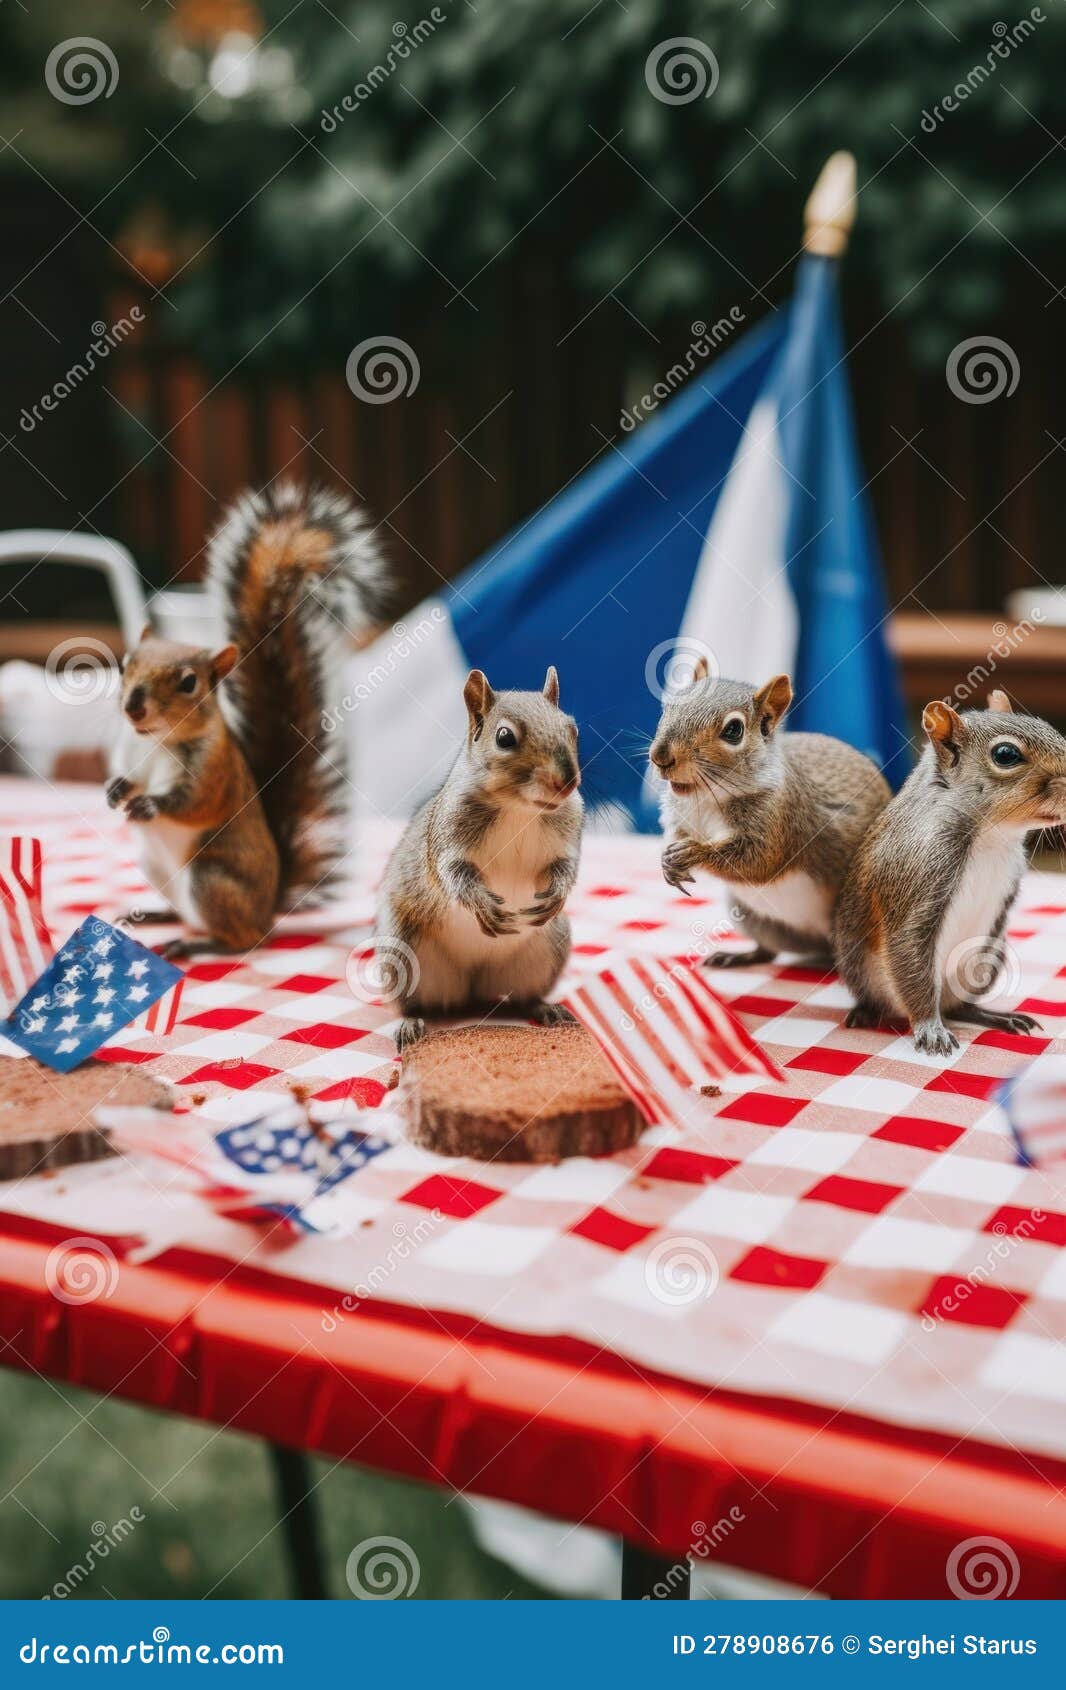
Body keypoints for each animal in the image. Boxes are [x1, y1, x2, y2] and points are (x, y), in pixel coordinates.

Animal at [107, 482, 393, 960]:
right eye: (126, 664)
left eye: (189, 683)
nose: (133, 707)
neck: (156, 741)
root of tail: (268, 906)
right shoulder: (130, 752)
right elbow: (128, 776)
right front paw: (115, 791)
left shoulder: (214, 770)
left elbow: (195, 802)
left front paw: (151, 805)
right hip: (157, 869)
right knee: (185, 912)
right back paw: (157, 914)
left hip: (211, 881)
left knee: (240, 939)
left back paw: (198, 944)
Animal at [376, 666, 583, 1049]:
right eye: (504, 737)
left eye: (572, 728)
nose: (567, 782)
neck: (519, 809)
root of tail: (470, 986)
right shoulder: (447, 836)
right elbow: (451, 872)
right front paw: (481, 904)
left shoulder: (568, 837)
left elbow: (566, 867)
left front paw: (559, 893)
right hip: (402, 954)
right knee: (409, 1002)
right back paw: (410, 1023)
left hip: (545, 950)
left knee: (522, 997)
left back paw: (545, 1008)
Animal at [650, 659, 891, 967]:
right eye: (667, 707)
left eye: (733, 730)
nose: (660, 757)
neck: (705, 799)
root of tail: (819, 945)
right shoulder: (679, 816)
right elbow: (674, 834)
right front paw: (667, 859)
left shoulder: (781, 818)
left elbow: (757, 860)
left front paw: (694, 852)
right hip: (753, 918)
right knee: (768, 951)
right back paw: (738, 956)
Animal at [834, 690, 1066, 1055]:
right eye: (1006, 754)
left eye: (1051, 729)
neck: (992, 835)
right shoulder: (919, 871)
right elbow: (908, 947)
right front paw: (929, 1028)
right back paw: (869, 1012)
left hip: (982, 963)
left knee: (958, 1006)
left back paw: (992, 1016)